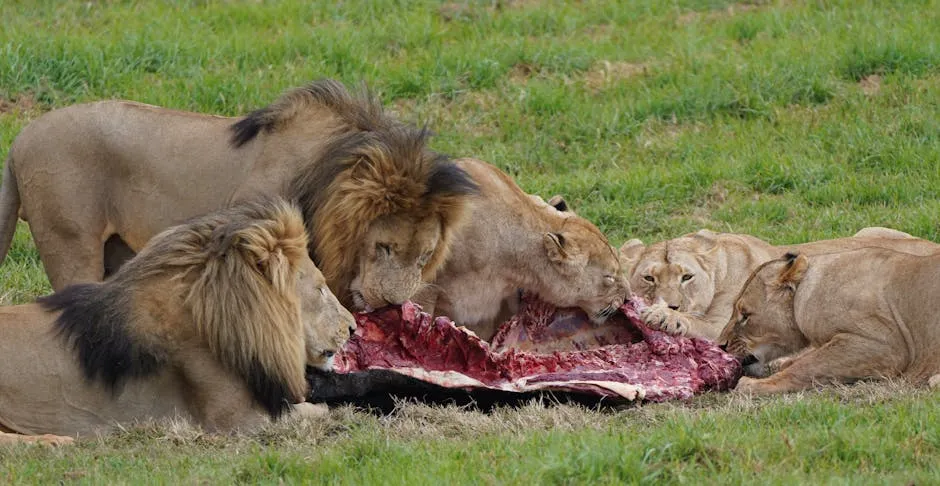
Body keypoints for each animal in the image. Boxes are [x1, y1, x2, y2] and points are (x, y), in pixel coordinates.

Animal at [0, 78, 478, 310]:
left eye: (424, 256)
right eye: (383, 247)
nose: (393, 304)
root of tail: (20, 138)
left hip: (114, 250)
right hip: (69, 239)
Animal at [620, 229, 936, 342]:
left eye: (687, 277)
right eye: (649, 278)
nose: (672, 304)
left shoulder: (722, 325)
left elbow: (695, 322)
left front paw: (663, 315)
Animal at [716, 251, 940, 394]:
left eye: (745, 315)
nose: (720, 345)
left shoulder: (884, 345)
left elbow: (809, 365)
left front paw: (754, 385)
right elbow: (803, 360)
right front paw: (784, 362)